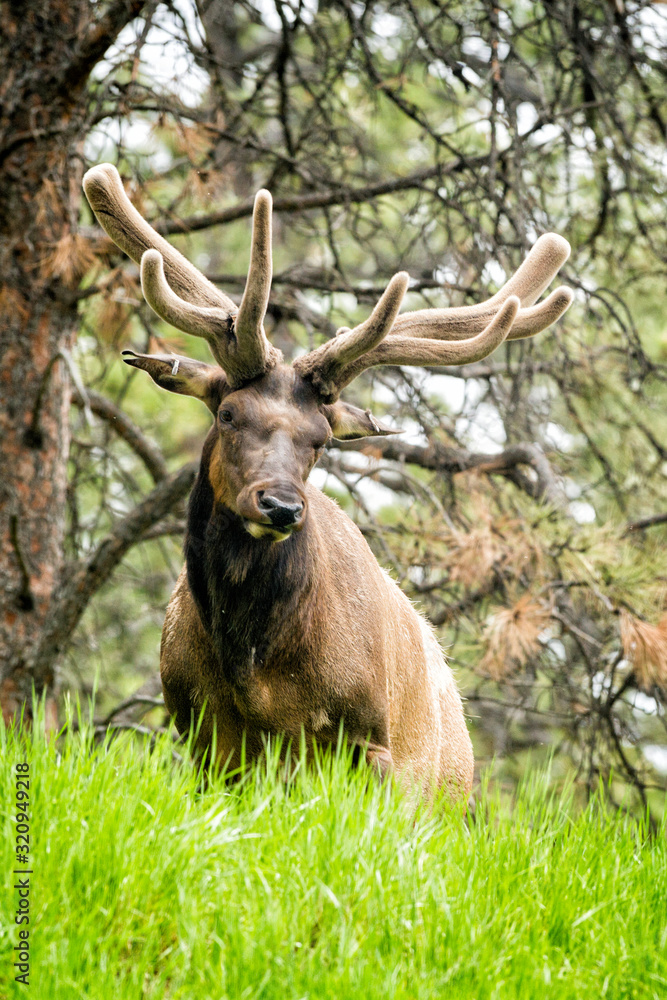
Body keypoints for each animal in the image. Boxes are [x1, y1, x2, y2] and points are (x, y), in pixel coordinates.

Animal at [83, 163, 572, 799]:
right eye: (228, 413)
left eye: (320, 439)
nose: (281, 506)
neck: (253, 672)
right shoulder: (198, 730)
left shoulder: (367, 736)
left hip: (444, 793)